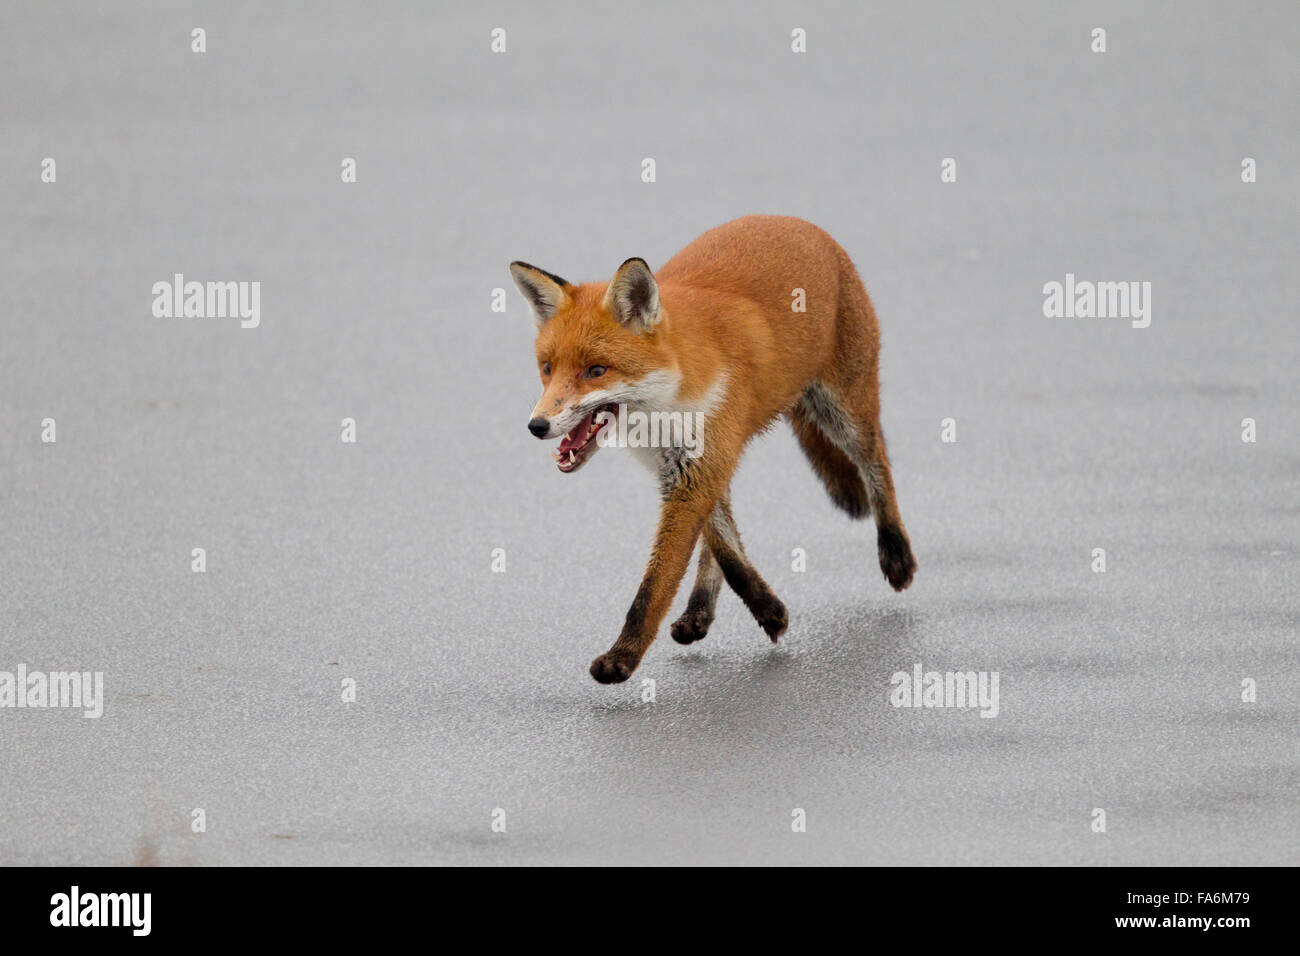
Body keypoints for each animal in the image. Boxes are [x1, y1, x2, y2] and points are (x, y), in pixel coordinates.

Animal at [510, 214, 916, 684]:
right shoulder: (682, 468)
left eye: (596, 370)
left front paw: (622, 657)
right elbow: (726, 551)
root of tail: (799, 223)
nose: (537, 426)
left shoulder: (699, 469)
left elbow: (656, 584)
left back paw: (896, 553)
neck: (666, 405)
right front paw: (769, 609)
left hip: (843, 410)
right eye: (547, 369)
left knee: (877, 465)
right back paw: (698, 612)